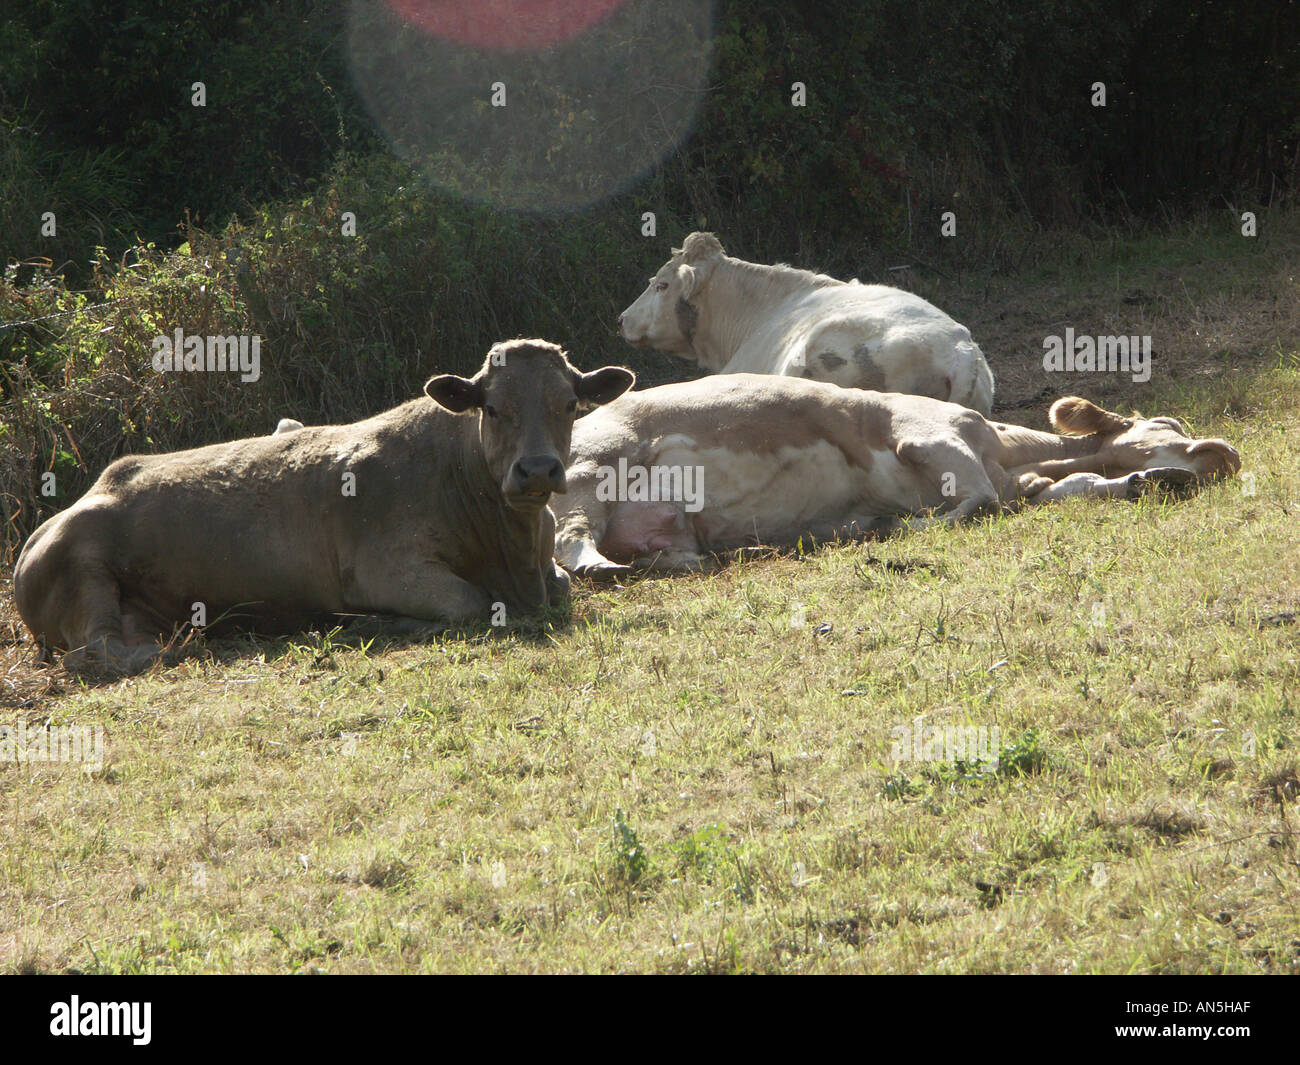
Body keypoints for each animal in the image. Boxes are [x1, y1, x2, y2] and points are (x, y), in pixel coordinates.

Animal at [13, 339, 635, 672]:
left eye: (569, 404)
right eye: (494, 408)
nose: (537, 470)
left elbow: (563, 584)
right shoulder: (387, 567)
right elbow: (468, 604)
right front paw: (376, 623)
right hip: (83, 570)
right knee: (98, 652)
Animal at [552, 375, 1239, 577]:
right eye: (1167, 423)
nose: (1224, 454)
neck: (1012, 454)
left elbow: (1073, 491)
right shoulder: (930, 433)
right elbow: (979, 503)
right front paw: (891, 527)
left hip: (671, 536)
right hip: (592, 470)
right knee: (571, 547)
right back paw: (600, 568)